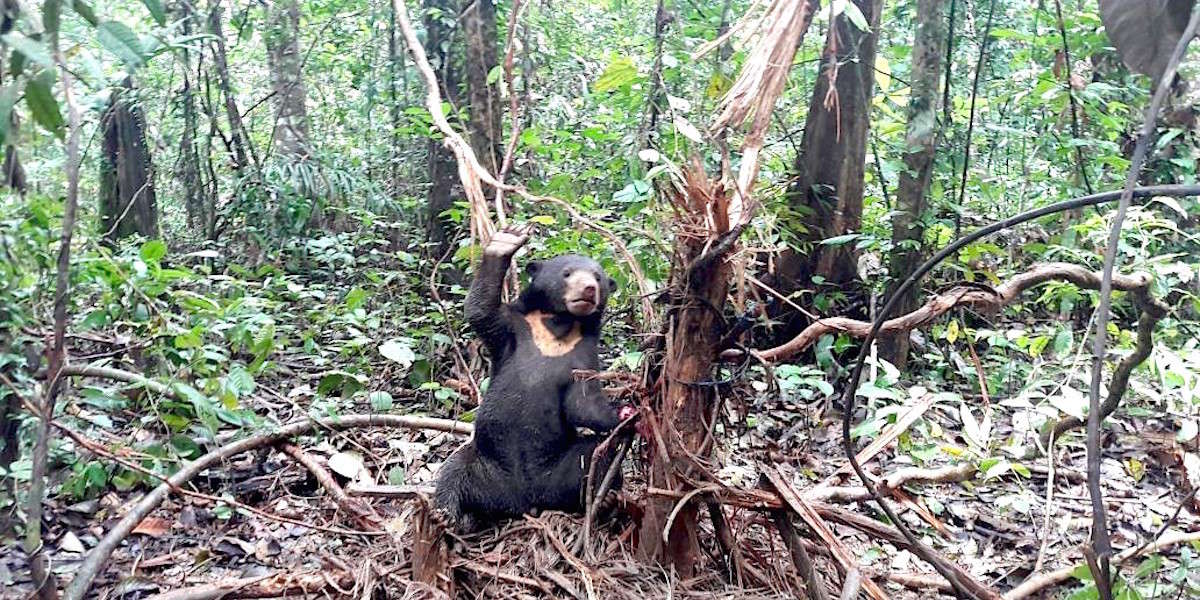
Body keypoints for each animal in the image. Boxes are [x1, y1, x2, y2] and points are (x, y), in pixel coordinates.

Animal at [434, 223, 632, 532]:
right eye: (567, 273)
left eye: (598, 277)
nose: (589, 290)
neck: (558, 327)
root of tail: (523, 500)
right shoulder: (512, 328)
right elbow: (480, 310)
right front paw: (507, 239)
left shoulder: (584, 354)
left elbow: (583, 402)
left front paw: (626, 411)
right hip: (484, 463)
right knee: (454, 470)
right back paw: (448, 515)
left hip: (560, 471)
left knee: (596, 454)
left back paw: (606, 501)